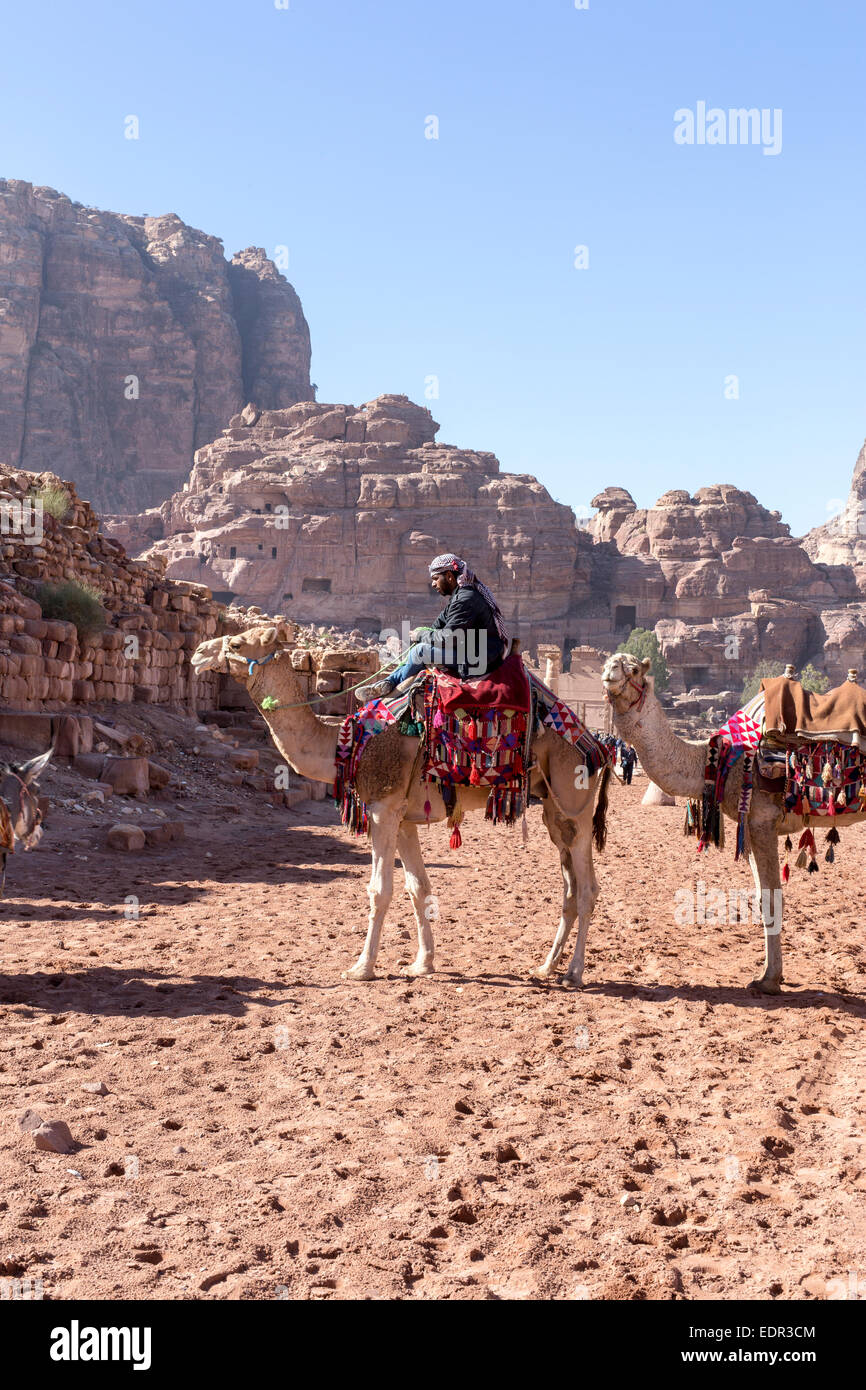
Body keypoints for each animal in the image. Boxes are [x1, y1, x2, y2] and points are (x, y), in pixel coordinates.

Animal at [192, 623, 612, 984]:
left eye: (236, 643)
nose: (198, 653)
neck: (344, 743)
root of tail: (598, 744)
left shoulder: (383, 808)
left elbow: (380, 890)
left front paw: (361, 967)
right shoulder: (405, 818)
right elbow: (418, 888)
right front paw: (422, 964)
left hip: (574, 797)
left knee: (588, 889)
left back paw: (574, 973)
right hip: (554, 810)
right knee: (570, 888)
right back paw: (546, 966)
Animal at [601, 653, 866, 993]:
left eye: (633, 670)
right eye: (608, 663)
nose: (609, 673)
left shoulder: (762, 820)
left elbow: (772, 898)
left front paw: (769, 980)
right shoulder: (749, 827)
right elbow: (761, 898)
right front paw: (768, 975)